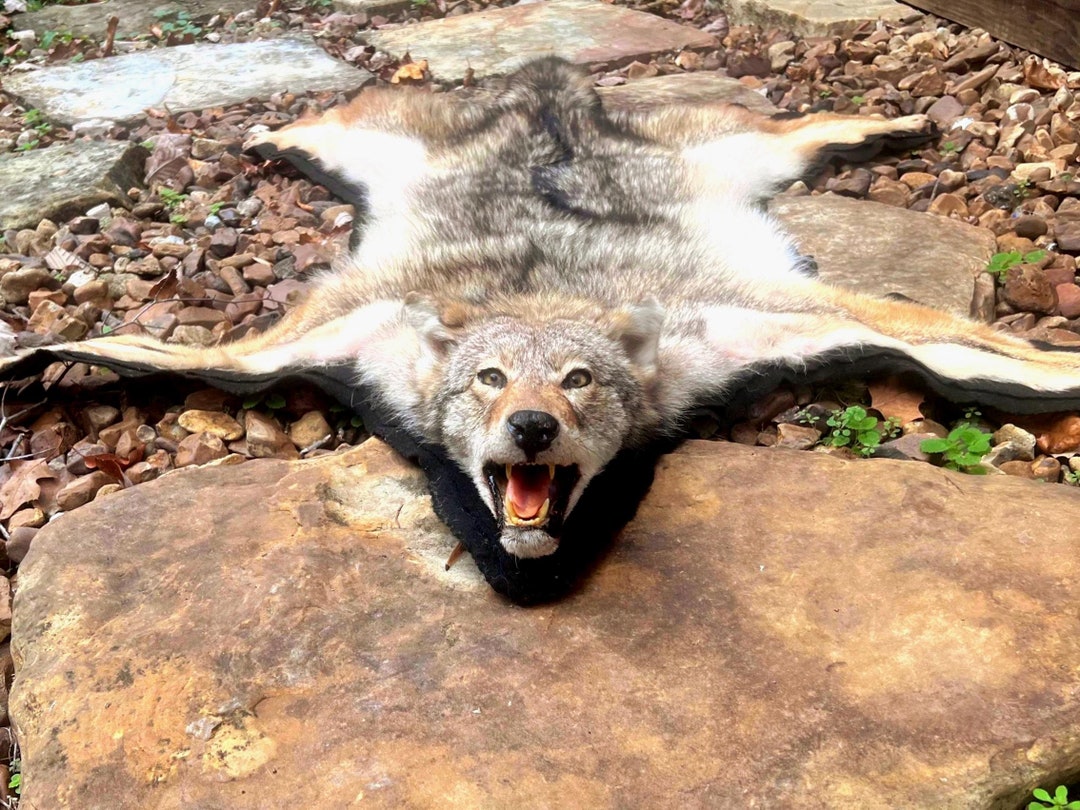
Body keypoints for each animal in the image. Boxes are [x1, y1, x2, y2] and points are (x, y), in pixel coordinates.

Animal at [5, 57, 1080, 602]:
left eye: (579, 381)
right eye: (488, 381)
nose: (531, 429)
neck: (540, 297)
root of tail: (544, 83)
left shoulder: (772, 314)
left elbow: (957, 343)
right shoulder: (307, 336)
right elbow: (162, 354)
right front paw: (35, 355)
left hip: (744, 154)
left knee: (805, 125)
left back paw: (885, 127)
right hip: (364, 143)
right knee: (319, 115)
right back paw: (266, 130)